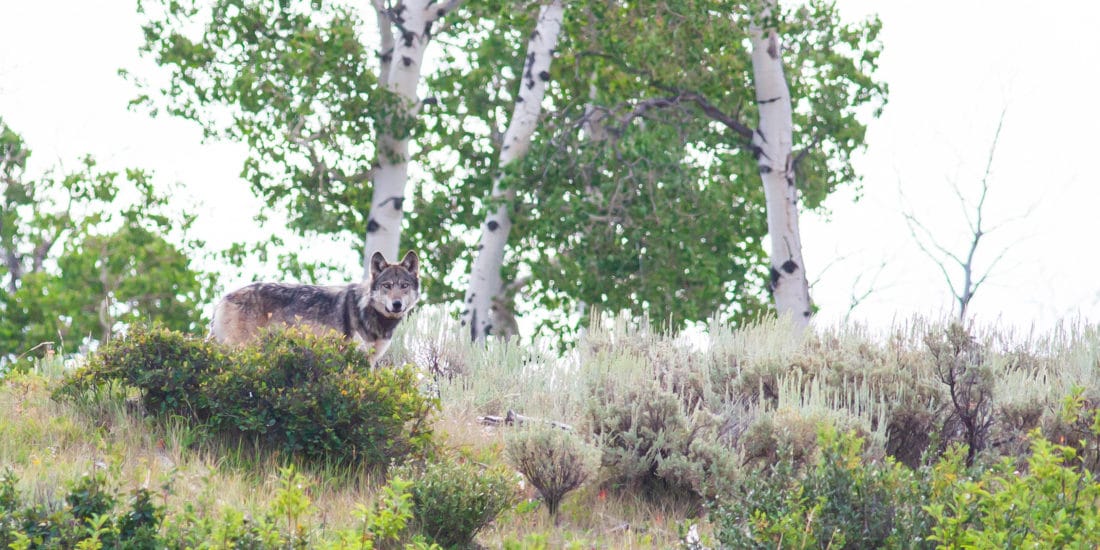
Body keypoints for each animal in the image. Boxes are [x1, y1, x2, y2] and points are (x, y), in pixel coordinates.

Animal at [210, 251, 420, 366]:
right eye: (387, 286)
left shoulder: (371, 359)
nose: (397, 304)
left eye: (404, 286)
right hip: (240, 349)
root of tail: (223, 298)